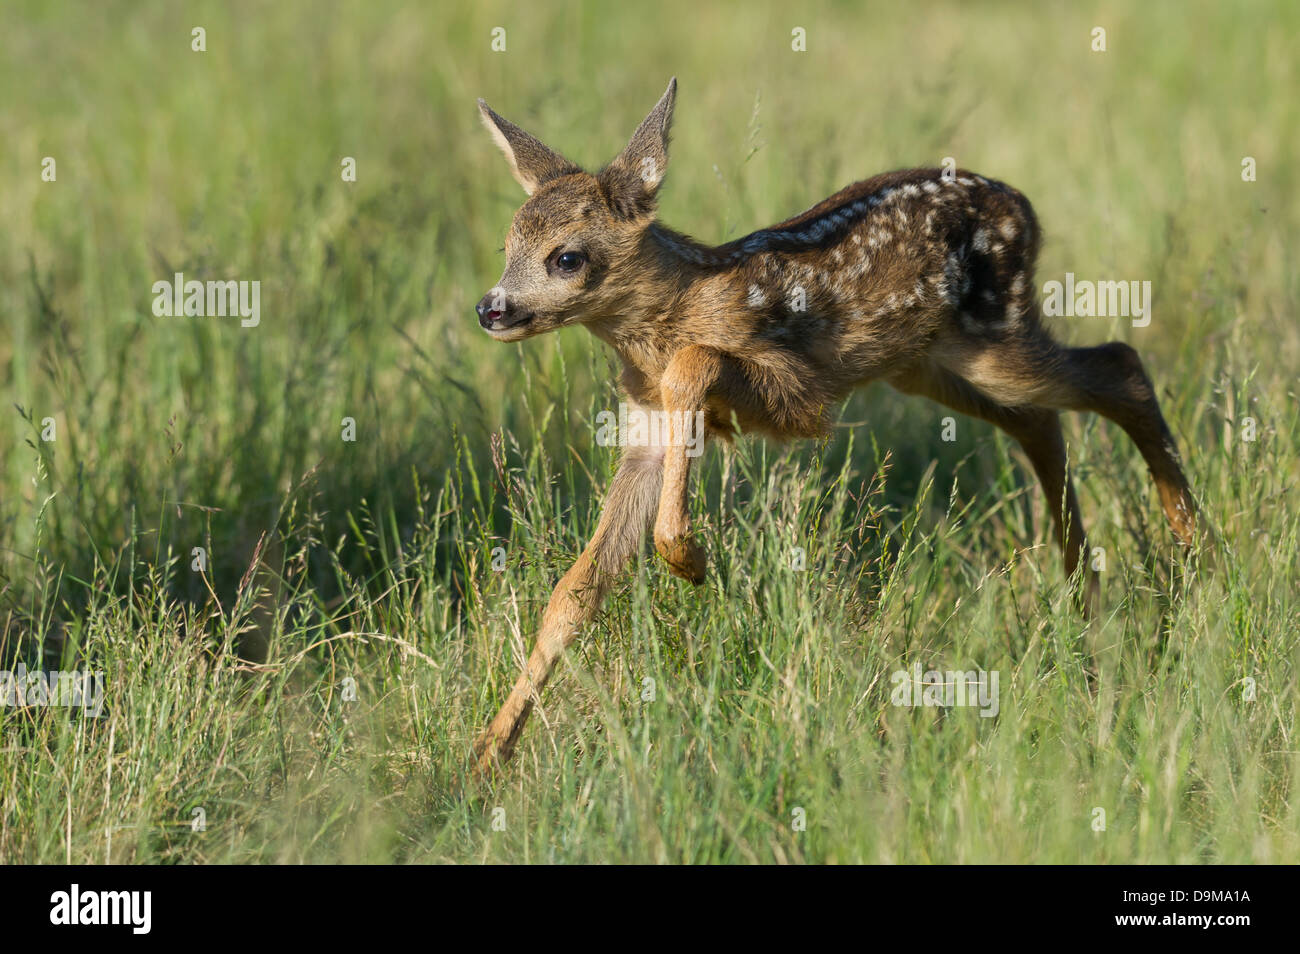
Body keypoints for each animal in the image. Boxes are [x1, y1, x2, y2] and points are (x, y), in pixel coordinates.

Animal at [469, 78, 1199, 773]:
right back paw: (1088, 596)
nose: (490, 308)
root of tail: (1022, 204)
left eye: (567, 258)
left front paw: (689, 558)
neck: (673, 313)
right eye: (505, 245)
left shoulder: (799, 390)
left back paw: (1194, 550)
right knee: (1044, 418)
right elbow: (573, 593)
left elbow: (696, 363)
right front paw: (486, 757)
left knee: (1120, 365)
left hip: (990, 342)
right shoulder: (647, 433)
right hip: (930, 363)